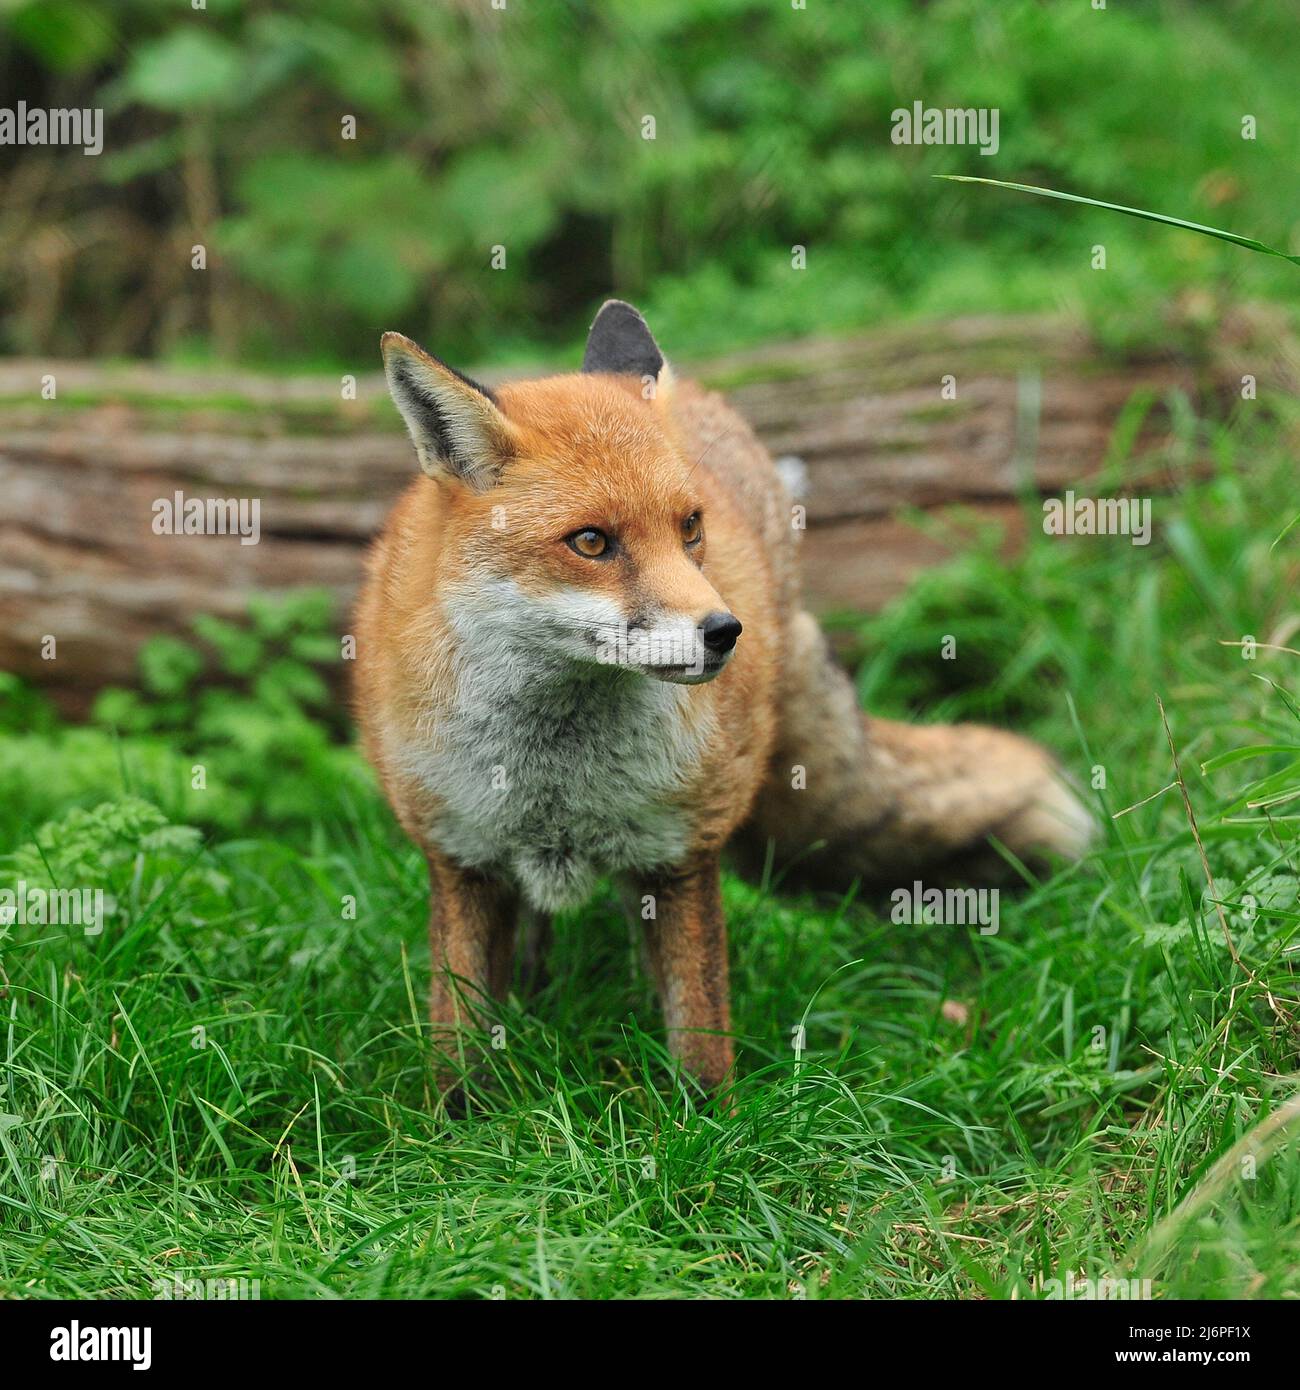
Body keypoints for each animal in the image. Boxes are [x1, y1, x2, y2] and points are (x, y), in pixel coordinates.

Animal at [353, 300, 1093, 1093]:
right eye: (591, 543)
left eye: (690, 528)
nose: (725, 632)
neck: (558, 779)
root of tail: (711, 398)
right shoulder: (462, 857)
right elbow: (456, 1040)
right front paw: (462, 1113)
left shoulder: (681, 851)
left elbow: (701, 1037)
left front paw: (704, 1118)